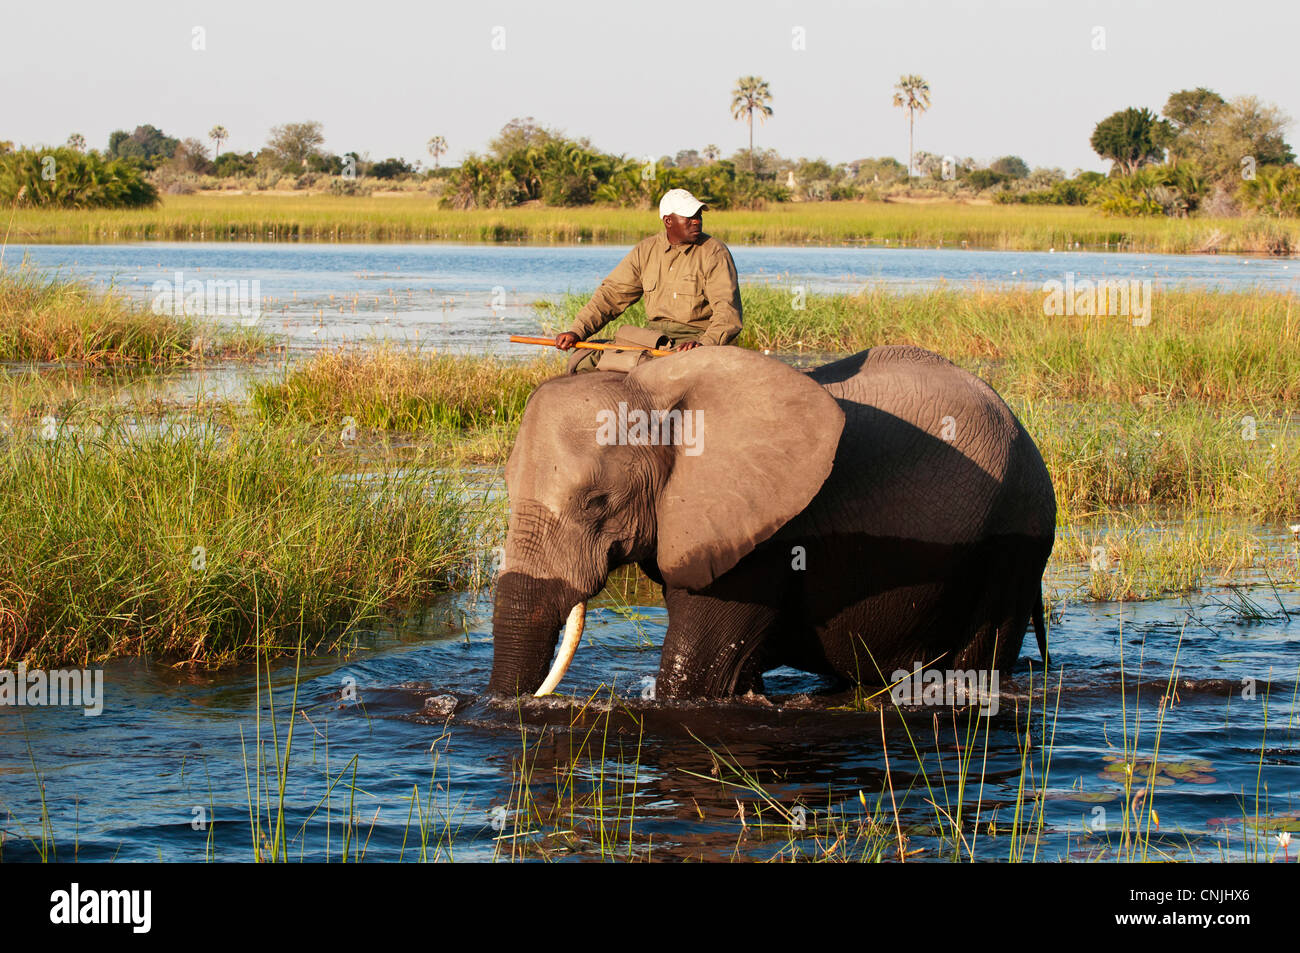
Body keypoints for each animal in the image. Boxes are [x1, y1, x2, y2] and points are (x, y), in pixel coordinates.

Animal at [488, 344, 1056, 701]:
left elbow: (695, 680)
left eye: (596, 501)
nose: (512, 709)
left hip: (1014, 539)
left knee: (979, 658)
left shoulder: (767, 536)